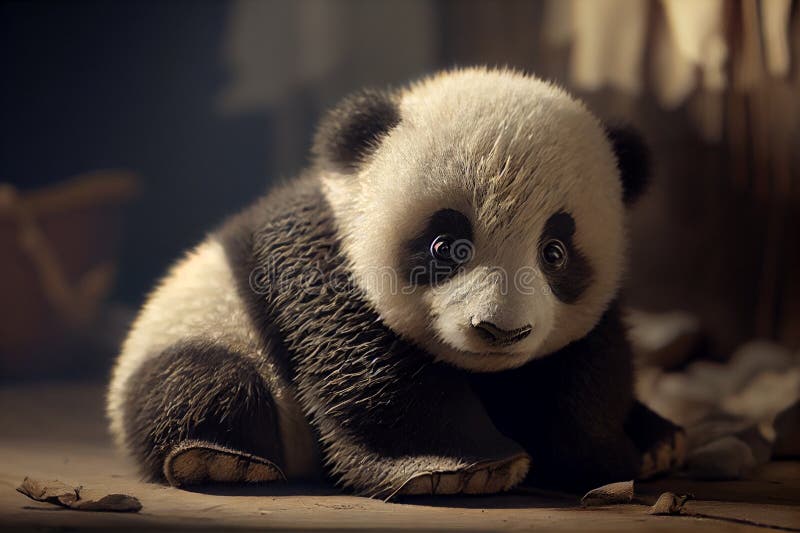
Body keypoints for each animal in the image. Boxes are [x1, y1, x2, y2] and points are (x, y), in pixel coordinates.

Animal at [107, 67, 685, 499]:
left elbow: (588, 363)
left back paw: (662, 439)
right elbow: (364, 363)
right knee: (206, 380)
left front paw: (612, 452)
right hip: (199, 327)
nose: (500, 332)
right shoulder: (318, 253)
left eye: (555, 252)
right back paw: (219, 457)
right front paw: (464, 469)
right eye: (446, 246)